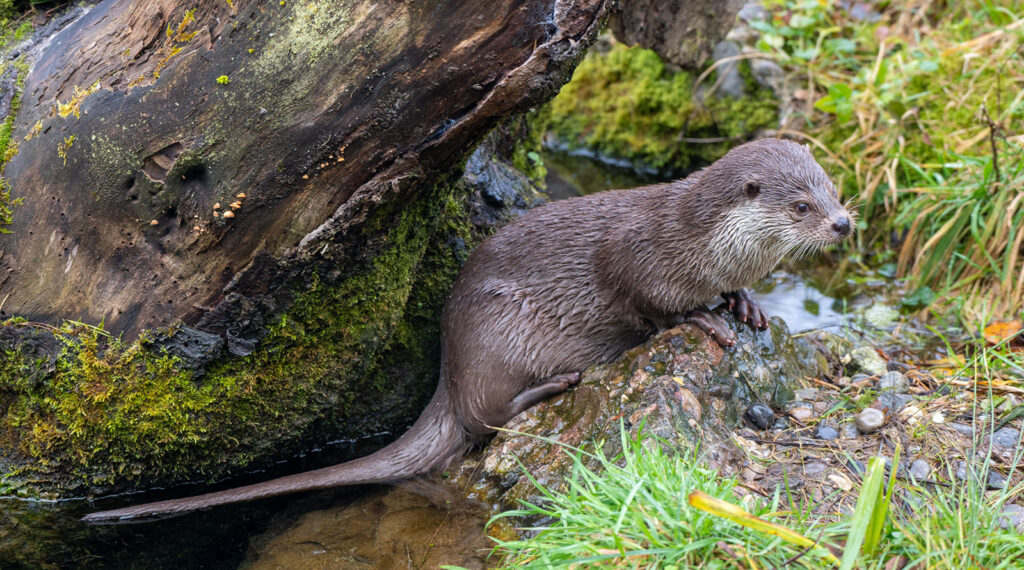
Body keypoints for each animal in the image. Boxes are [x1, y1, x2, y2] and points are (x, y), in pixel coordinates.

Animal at [83, 138, 851, 523]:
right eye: (801, 204)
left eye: (835, 188)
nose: (844, 223)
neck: (698, 241)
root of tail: (448, 368)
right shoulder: (639, 257)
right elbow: (648, 304)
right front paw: (702, 318)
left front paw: (747, 303)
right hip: (497, 334)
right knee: (484, 418)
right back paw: (558, 383)